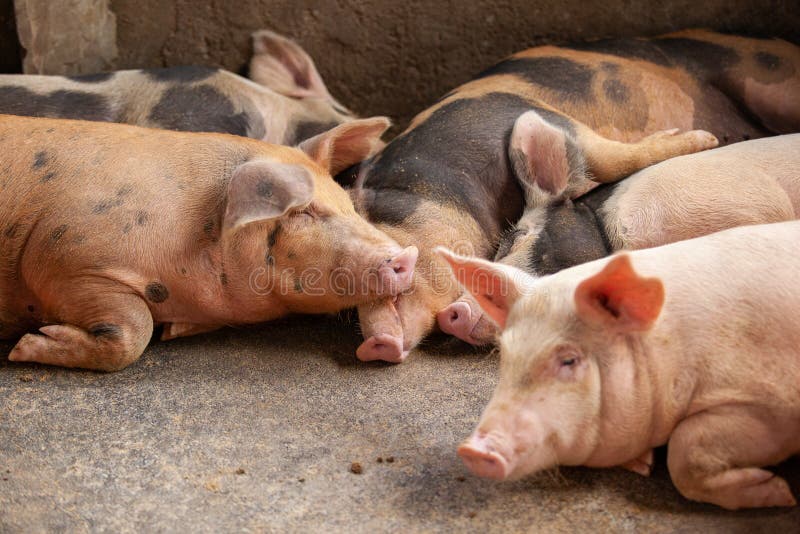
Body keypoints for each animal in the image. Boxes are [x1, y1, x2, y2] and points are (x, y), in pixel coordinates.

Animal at [0, 113, 417, 371]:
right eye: (304, 212)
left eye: (348, 204)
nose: (407, 256)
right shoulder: (61, 261)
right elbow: (136, 327)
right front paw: (25, 346)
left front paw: (174, 331)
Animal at [439, 220, 800, 510]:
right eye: (505, 354)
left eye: (568, 360)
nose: (472, 451)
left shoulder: (768, 404)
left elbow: (685, 449)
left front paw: (782, 493)